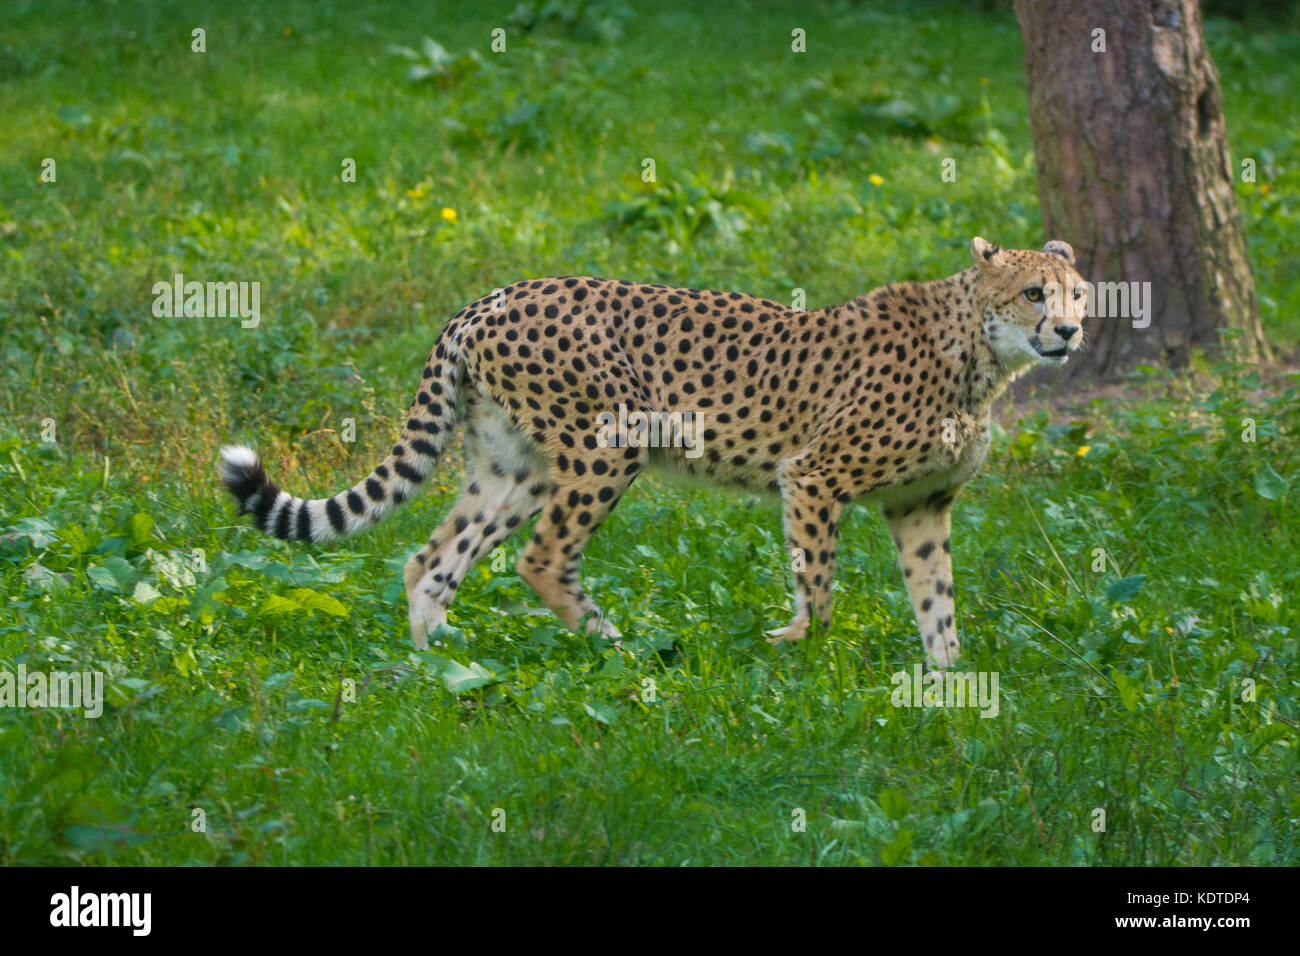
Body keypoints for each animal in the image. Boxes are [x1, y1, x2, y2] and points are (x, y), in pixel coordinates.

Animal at [220, 237, 1087, 668]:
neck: (980, 350)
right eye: (1033, 294)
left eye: (1077, 292)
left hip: (516, 466)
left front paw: (952, 687)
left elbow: (938, 602)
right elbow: (820, 586)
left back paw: (436, 669)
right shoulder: (812, 476)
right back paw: (620, 647)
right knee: (543, 558)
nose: (1071, 331)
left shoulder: (920, 506)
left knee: (431, 560)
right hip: (608, 443)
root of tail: (491, 296)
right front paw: (796, 648)